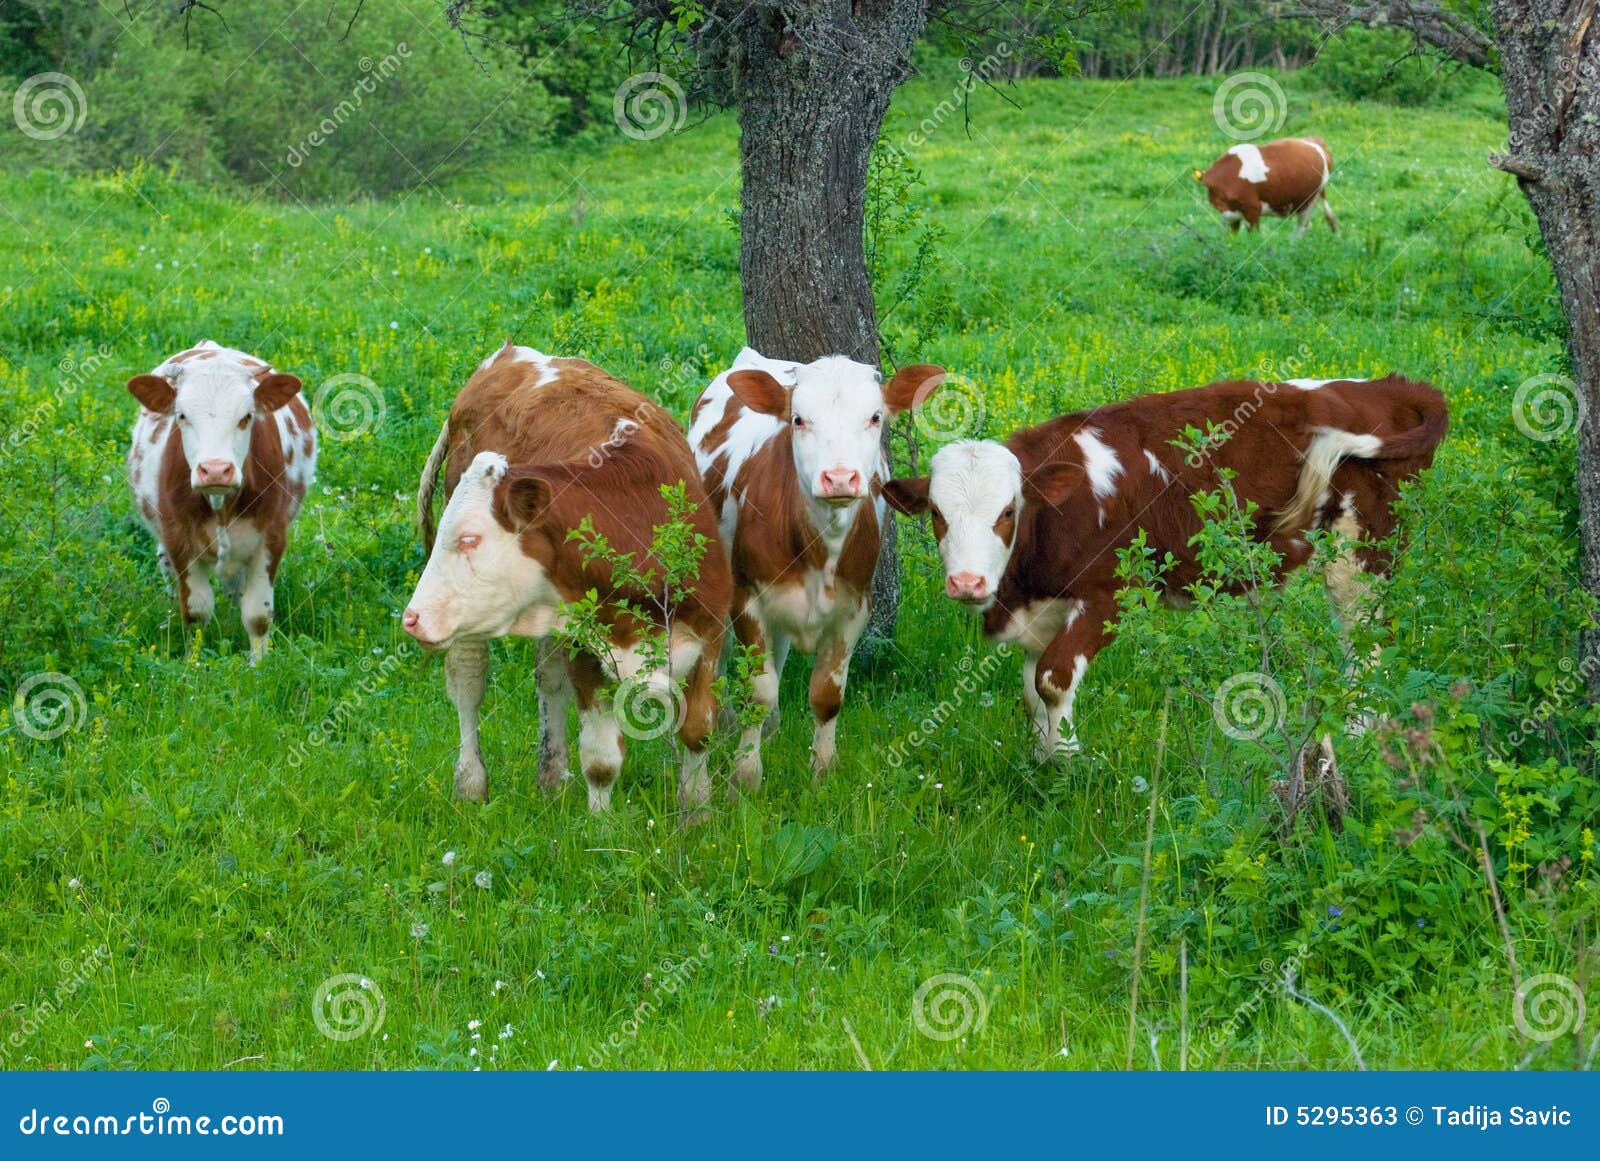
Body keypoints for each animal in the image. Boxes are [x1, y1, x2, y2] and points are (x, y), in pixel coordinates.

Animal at [126, 340, 317, 665]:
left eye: (246, 417)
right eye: (182, 416)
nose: (215, 470)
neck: (220, 502)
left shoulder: (271, 537)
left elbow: (257, 614)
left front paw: (258, 665)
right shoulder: (178, 538)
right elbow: (195, 611)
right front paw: (193, 663)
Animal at [404, 342, 731, 818]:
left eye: (469, 539)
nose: (410, 618)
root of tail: (510, 354)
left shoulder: (710, 633)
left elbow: (698, 731)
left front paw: (698, 815)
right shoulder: (587, 650)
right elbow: (601, 758)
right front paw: (602, 828)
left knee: (548, 677)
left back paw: (552, 777)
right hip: (468, 621)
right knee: (468, 678)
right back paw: (471, 784)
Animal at [688, 348, 945, 789]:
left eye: (875, 417)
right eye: (798, 419)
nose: (839, 477)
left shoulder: (856, 606)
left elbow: (826, 695)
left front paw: (823, 771)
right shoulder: (747, 596)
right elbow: (758, 689)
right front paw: (746, 774)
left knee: (779, 653)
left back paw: (771, 728)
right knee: (725, 656)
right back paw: (726, 724)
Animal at [884, 375, 1447, 761]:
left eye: (1007, 512)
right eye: (937, 514)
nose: (967, 582)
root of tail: (1392, 387)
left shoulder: (1109, 595)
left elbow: (1052, 680)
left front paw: (1066, 765)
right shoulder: (1040, 610)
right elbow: (1030, 692)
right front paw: (1043, 759)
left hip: (1363, 555)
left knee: (1365, 644)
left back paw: (1358, 733)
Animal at [1196, 137, 1337, 236]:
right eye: (1213, 192)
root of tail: (1315, 141)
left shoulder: (1253, 209)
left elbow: (1253, 237)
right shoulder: (1231, 216)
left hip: (1310, 200)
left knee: (1302, 226)